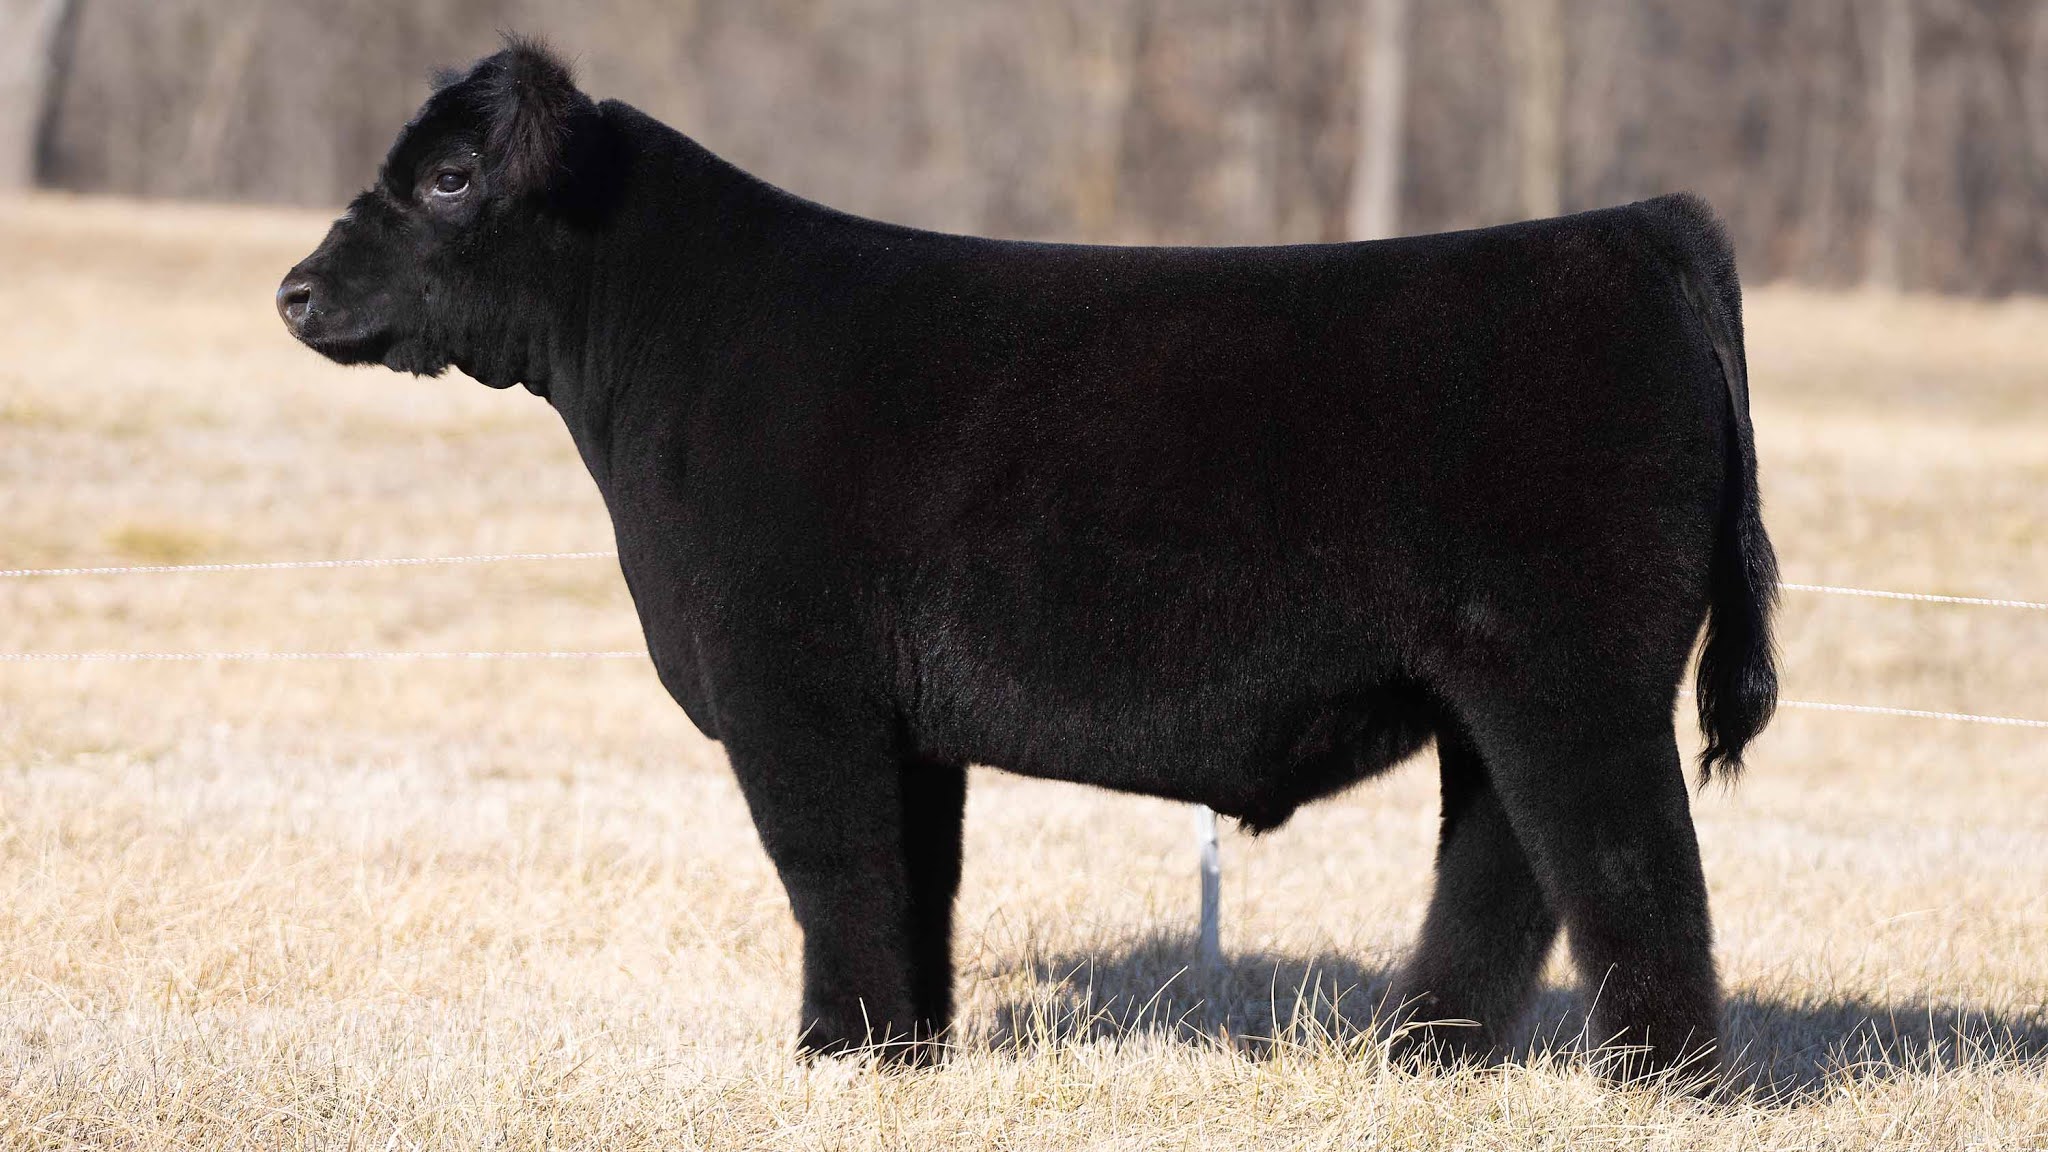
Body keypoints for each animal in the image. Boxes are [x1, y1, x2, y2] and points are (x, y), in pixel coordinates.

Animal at [278, 38, 1778, 1084]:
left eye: (449, 179)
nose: (294, 291)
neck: (668, 349)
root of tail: (1637, 228)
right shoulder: (901, 717)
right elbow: (912, 875)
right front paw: (907, 1051)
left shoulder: (790, 683)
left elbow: (830, 865)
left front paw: (837, 1052)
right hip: (1493, 687)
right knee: (1505, 862)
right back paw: (1421, 1055)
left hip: (1575, 672)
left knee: (1629, 857)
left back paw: (1665, 1084)